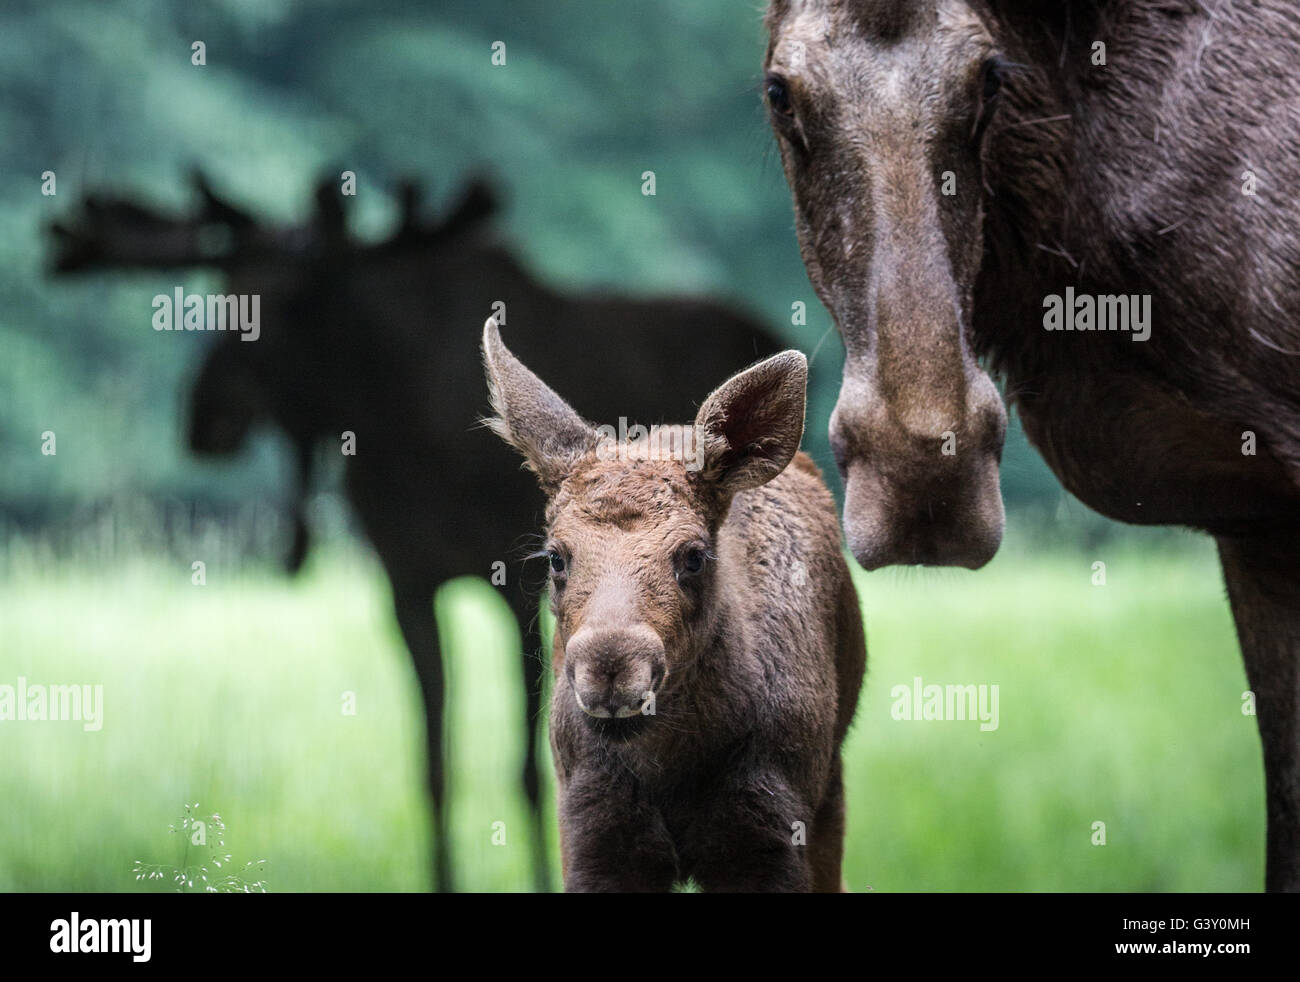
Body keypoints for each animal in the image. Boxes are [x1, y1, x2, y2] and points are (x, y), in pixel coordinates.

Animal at [481, 318, 866, 892]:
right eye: (555, 557)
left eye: (694, 556)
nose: (611, 667)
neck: (672, 770)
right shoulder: (592, 831)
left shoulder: (771, 832)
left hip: (830, 792)